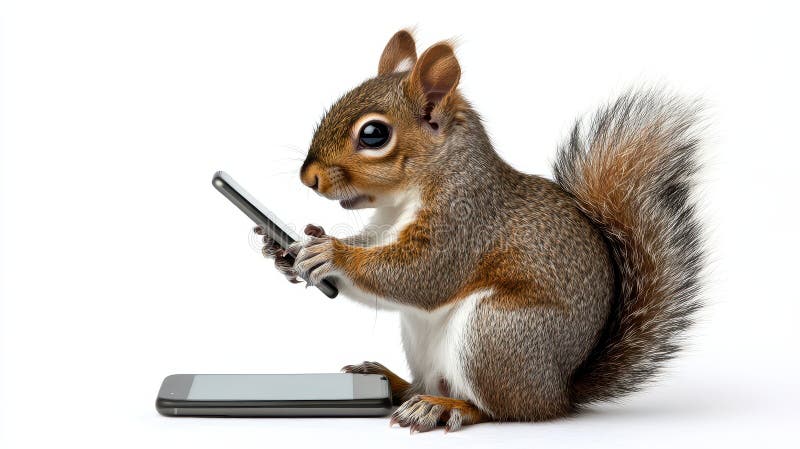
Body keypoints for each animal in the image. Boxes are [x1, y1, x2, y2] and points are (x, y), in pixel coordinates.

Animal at [255, 29, 704, 432]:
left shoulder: (466, 221)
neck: (415, 189)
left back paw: (444, 408)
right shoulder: (384, 226)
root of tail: (560, 392)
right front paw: (286, 248)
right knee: (423, 384)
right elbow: (373, 246)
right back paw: (392, 382)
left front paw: (331, 253)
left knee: (503, 410)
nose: (308, 177)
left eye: (374, 134)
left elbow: (420, 274)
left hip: (496, 333)